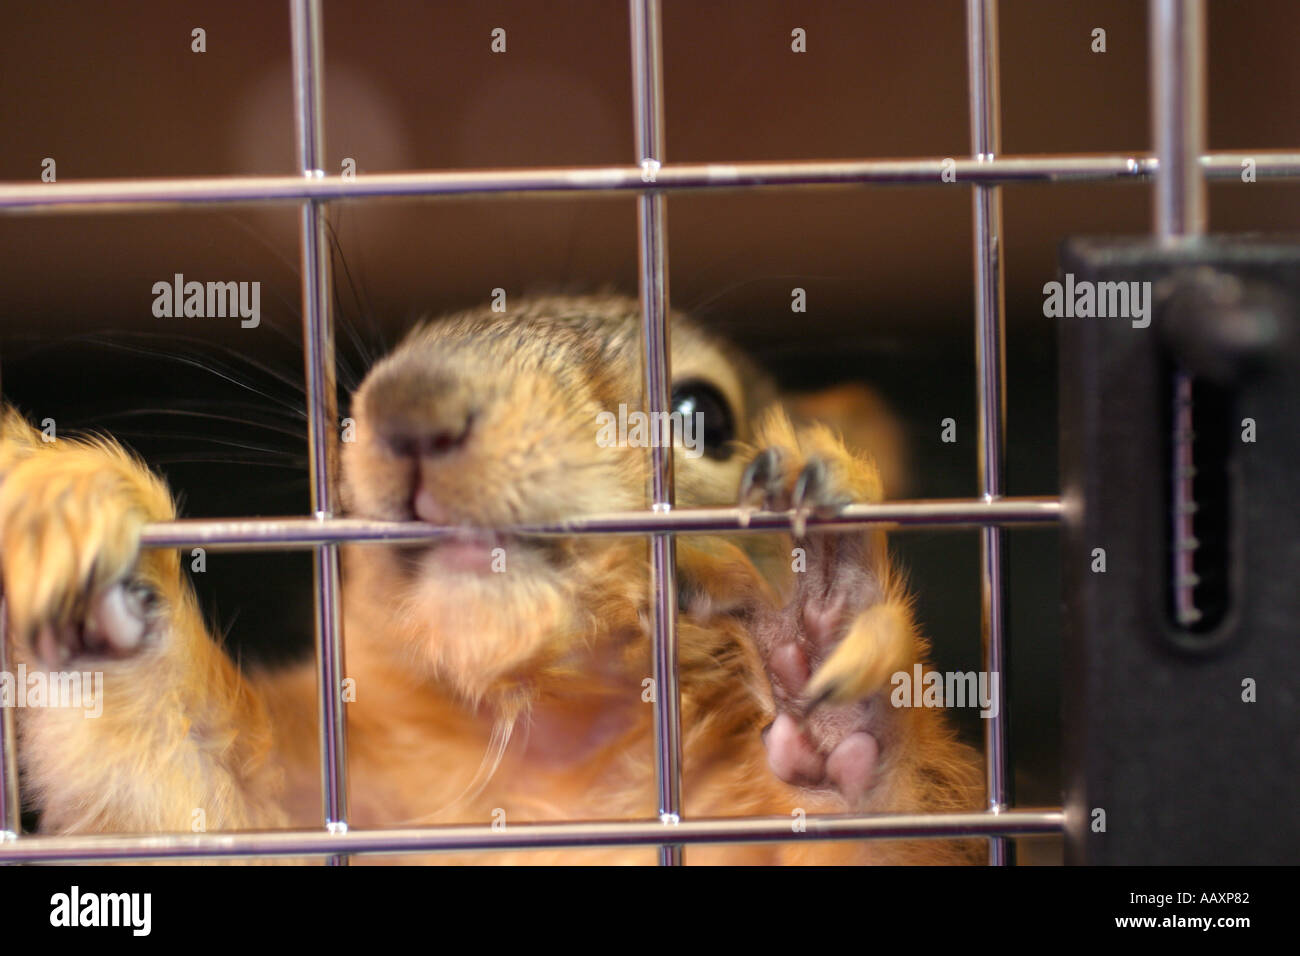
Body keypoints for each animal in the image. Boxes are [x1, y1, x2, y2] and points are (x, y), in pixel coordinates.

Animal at [0, 294, 984, 864]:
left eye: (703, 415)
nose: (408, 410)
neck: (546, 756)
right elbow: (176, 791)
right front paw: (61, 503)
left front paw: (821, 638)